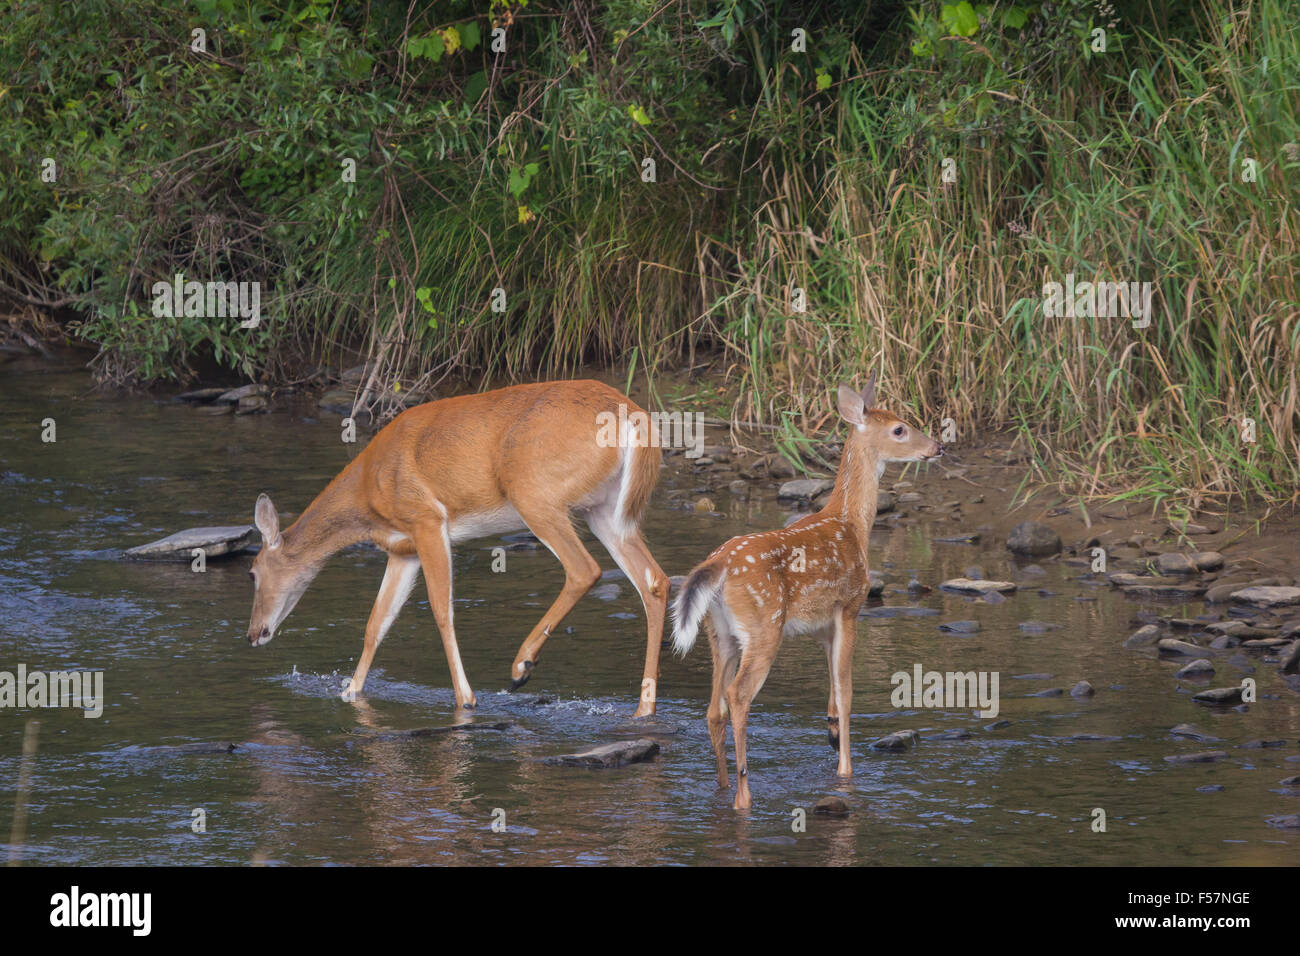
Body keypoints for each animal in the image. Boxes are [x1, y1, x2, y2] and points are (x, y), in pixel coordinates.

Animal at [245, 379, 670, 717]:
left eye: (252, 573)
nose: (251, 635)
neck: (366, 490)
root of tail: (634, 417)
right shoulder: (402, 549)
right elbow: (377, 622)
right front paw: (350, 690)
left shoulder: (427, 520)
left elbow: (440, 610)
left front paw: (466, 699)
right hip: (606, 510)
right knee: (654, 581)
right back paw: (643, 709)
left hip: (534, 492)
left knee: (584, 569)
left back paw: (521, 667)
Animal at [671, 374, 943, 809]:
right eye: (900, 429)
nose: (937, 446)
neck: (852, 524)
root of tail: (719, 565)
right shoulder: (850, 605)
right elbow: (847, 692)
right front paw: (846, 771)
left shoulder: (821, 626)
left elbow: (832, 688)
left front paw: (832, 734)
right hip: (764, 625)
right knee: (738, 696)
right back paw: (744, 796)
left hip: (719, 631)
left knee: (714, 708)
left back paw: (722, 785)